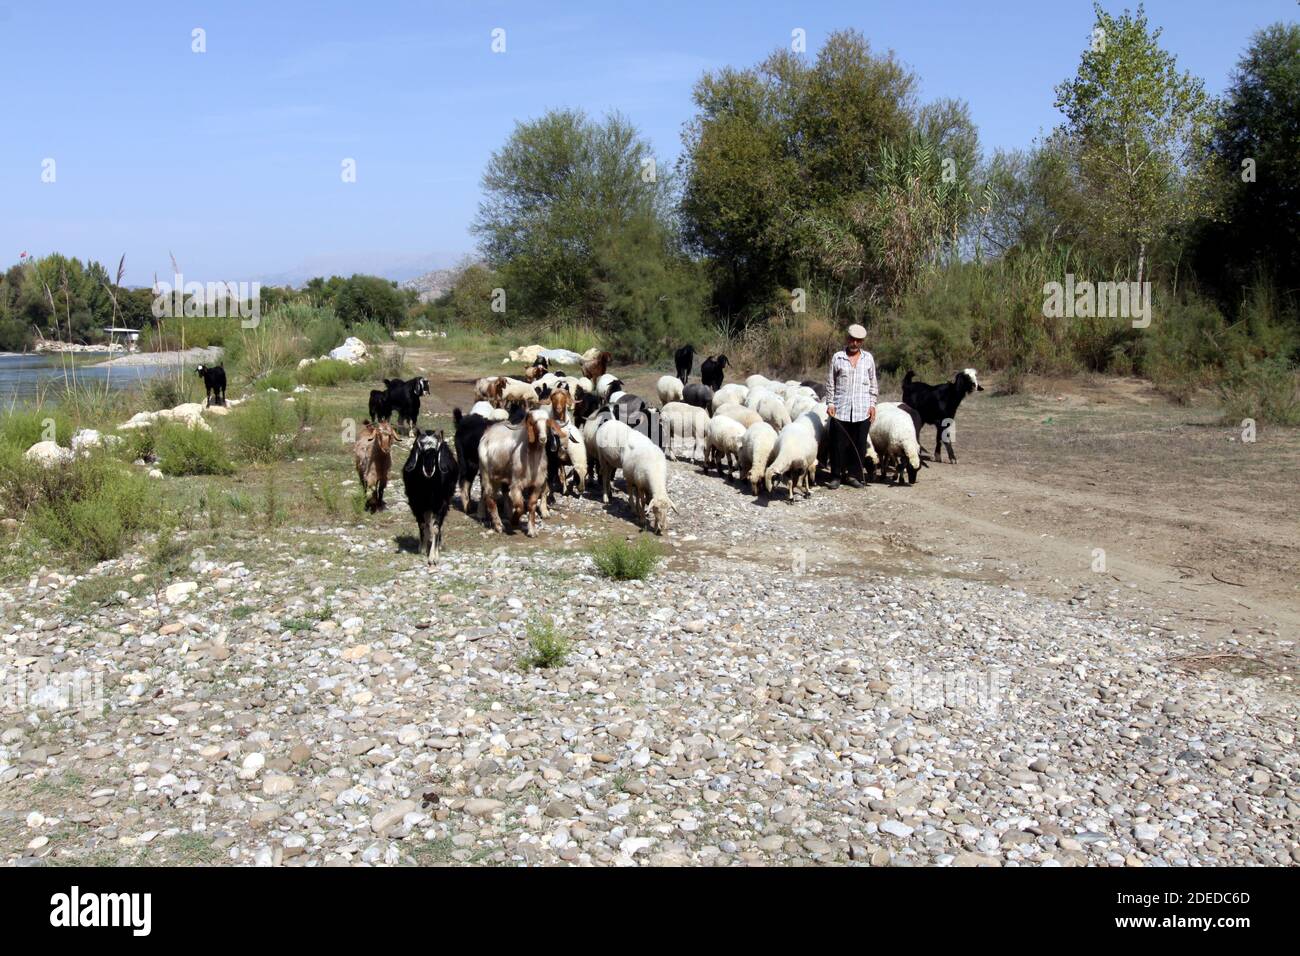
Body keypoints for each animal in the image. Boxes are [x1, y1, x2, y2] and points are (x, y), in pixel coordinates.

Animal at [402, 429, 457, 563]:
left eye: (436, 451)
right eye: (420, 450)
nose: (428, 470)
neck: (428, 486)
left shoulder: (441, 504)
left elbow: (436, 527)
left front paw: (433, 557)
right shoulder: (416, 503)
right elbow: (423, 524)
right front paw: (422, 548)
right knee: (427, 523)